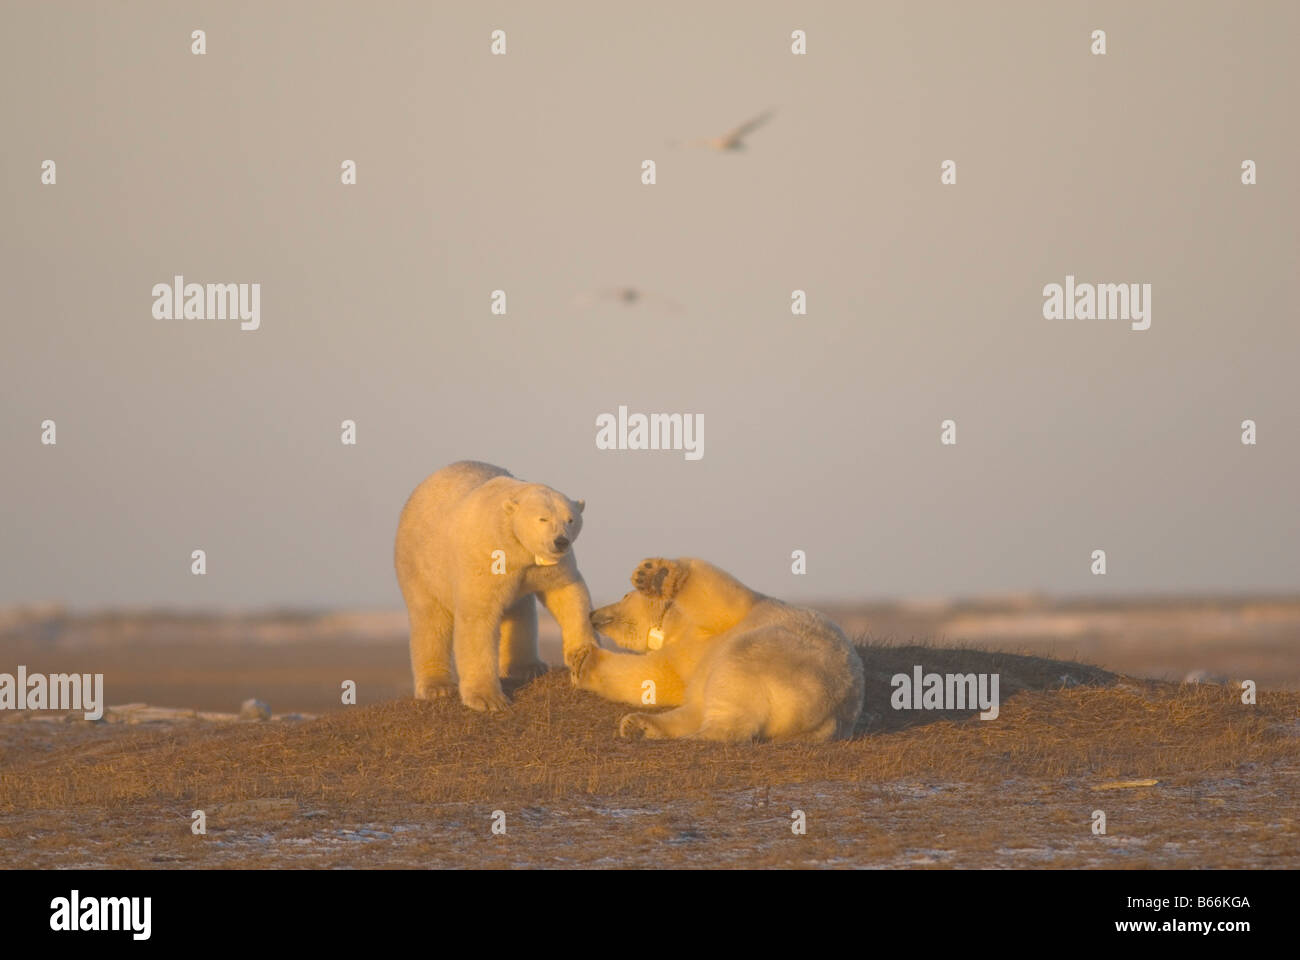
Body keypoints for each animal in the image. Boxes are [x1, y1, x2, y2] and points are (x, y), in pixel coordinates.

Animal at [394, 461, 598, 712]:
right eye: (543, 519)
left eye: (570, 519)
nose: (560, 541)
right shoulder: (487, 556)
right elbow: (478, 618)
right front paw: (487, 699)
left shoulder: (545, 565)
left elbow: (568, 594)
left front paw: (584, 658)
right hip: (419, 563)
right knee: (430, 620)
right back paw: (436, 686)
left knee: (520, 612)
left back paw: (527, 666)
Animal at [572, 557, 864, 742]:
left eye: (624, 596)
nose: (592, 614)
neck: (675, 625)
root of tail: (831, 716)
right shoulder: (682, 658)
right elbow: (654, 678)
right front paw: (581, 662)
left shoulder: (737, 613)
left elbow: (721, 598)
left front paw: (654, 575)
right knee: (698, 706)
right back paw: (639, 725)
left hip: (781, 657)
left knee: (733, 677)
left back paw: (698, 735)